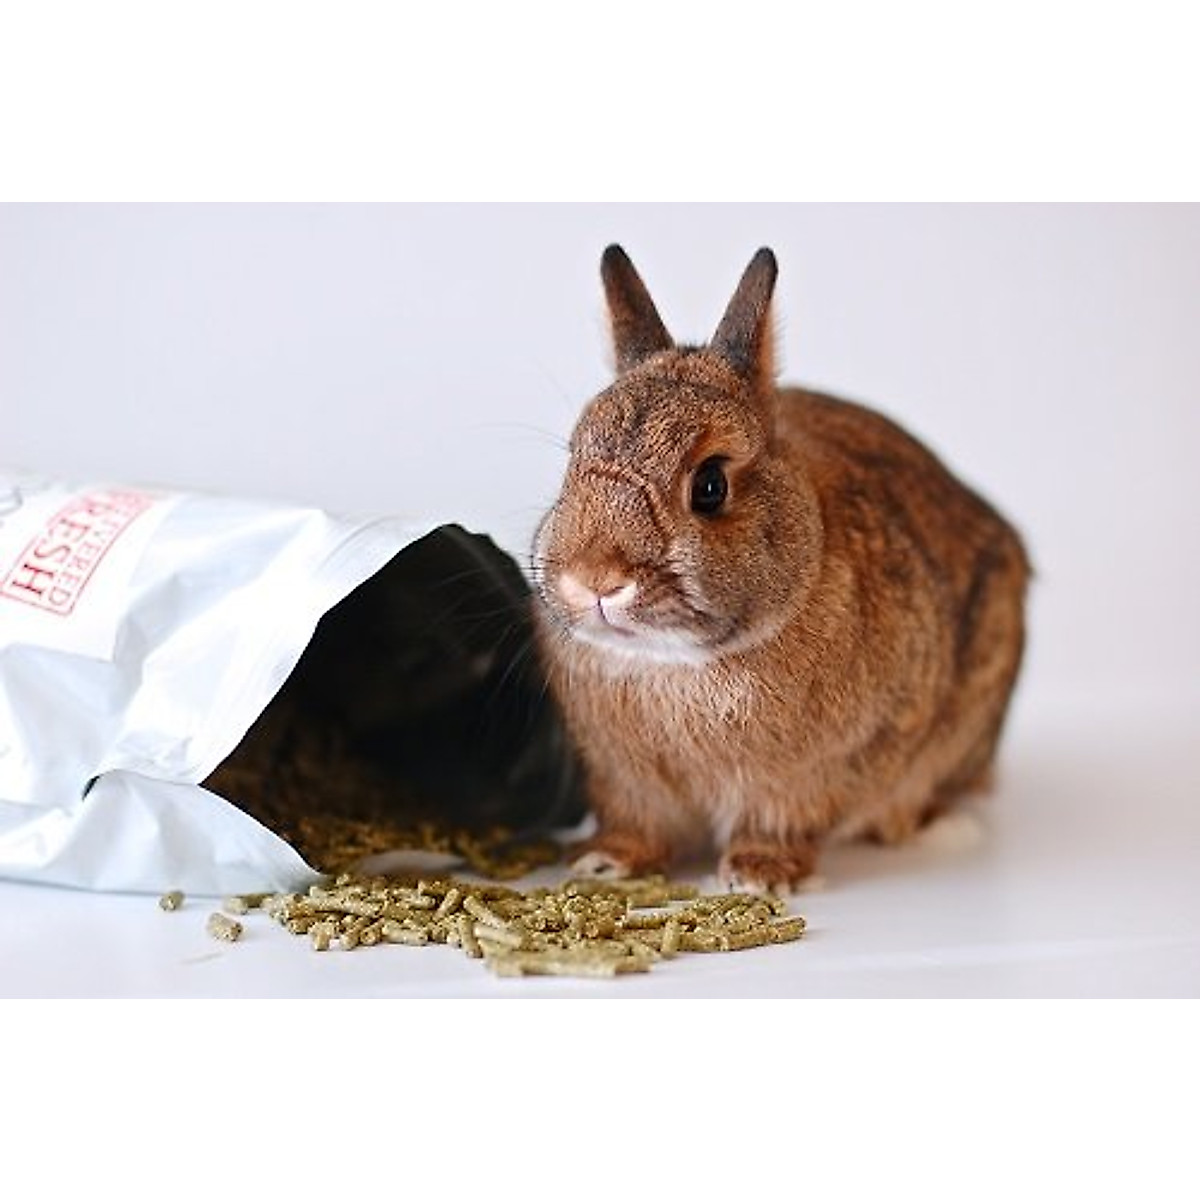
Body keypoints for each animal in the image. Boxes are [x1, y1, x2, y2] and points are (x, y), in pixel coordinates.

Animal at [531, 245, 1030, 893]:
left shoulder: (811, 777)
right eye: (572, 462)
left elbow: (780, 820)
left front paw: (760, 874)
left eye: (710, 485)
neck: (677, 661)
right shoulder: (622, 781)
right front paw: (607, 861)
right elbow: (637, 824)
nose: (594, 578)